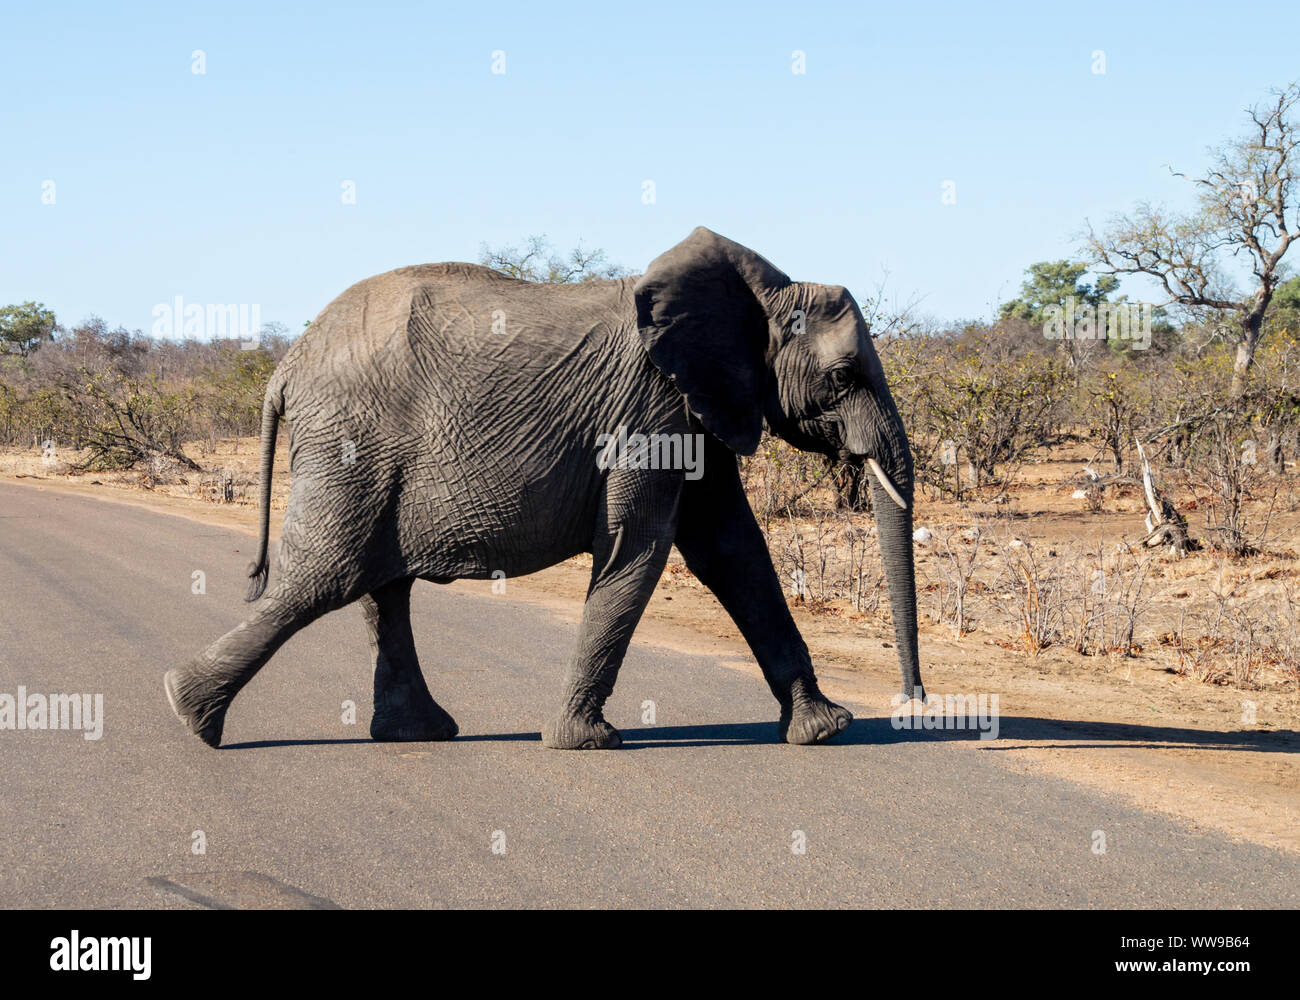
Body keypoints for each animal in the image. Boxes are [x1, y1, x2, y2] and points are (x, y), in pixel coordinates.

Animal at [164, 227, 925, 750]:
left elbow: (733, 551)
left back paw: (418, 732)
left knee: (379, 587)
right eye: (843, 376)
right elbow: (639, 548)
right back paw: (188, 713)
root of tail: (284, 369)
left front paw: (824, 730)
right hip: (351, 441)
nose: (914, 702)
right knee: (325, 578)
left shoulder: (697, 409)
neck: (757, 295)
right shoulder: (650, 406)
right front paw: (586, 743)